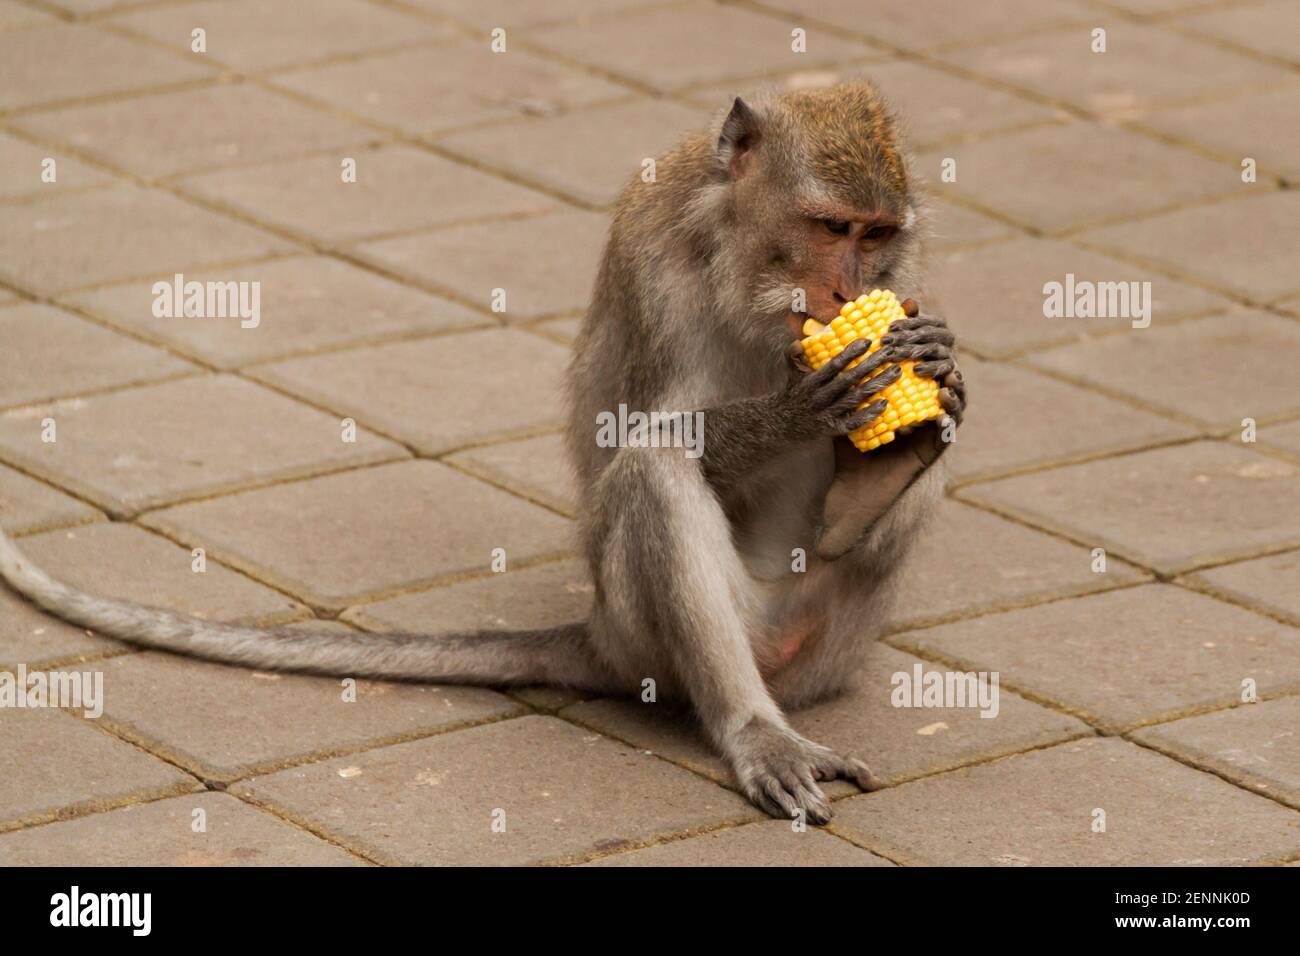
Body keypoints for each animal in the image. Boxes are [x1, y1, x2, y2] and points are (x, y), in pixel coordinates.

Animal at [0, 81, 963, 824]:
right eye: (829, 225)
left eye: (877, 236)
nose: (850, 291)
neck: (739, 259)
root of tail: (603, 639)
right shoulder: (653, 266)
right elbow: (633, 439)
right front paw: (799, 406)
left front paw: (930, 372)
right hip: (651, 636)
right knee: (653, 477)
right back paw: (750, 728)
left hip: (829, 642)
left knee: (922, 468)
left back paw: (886, 474)